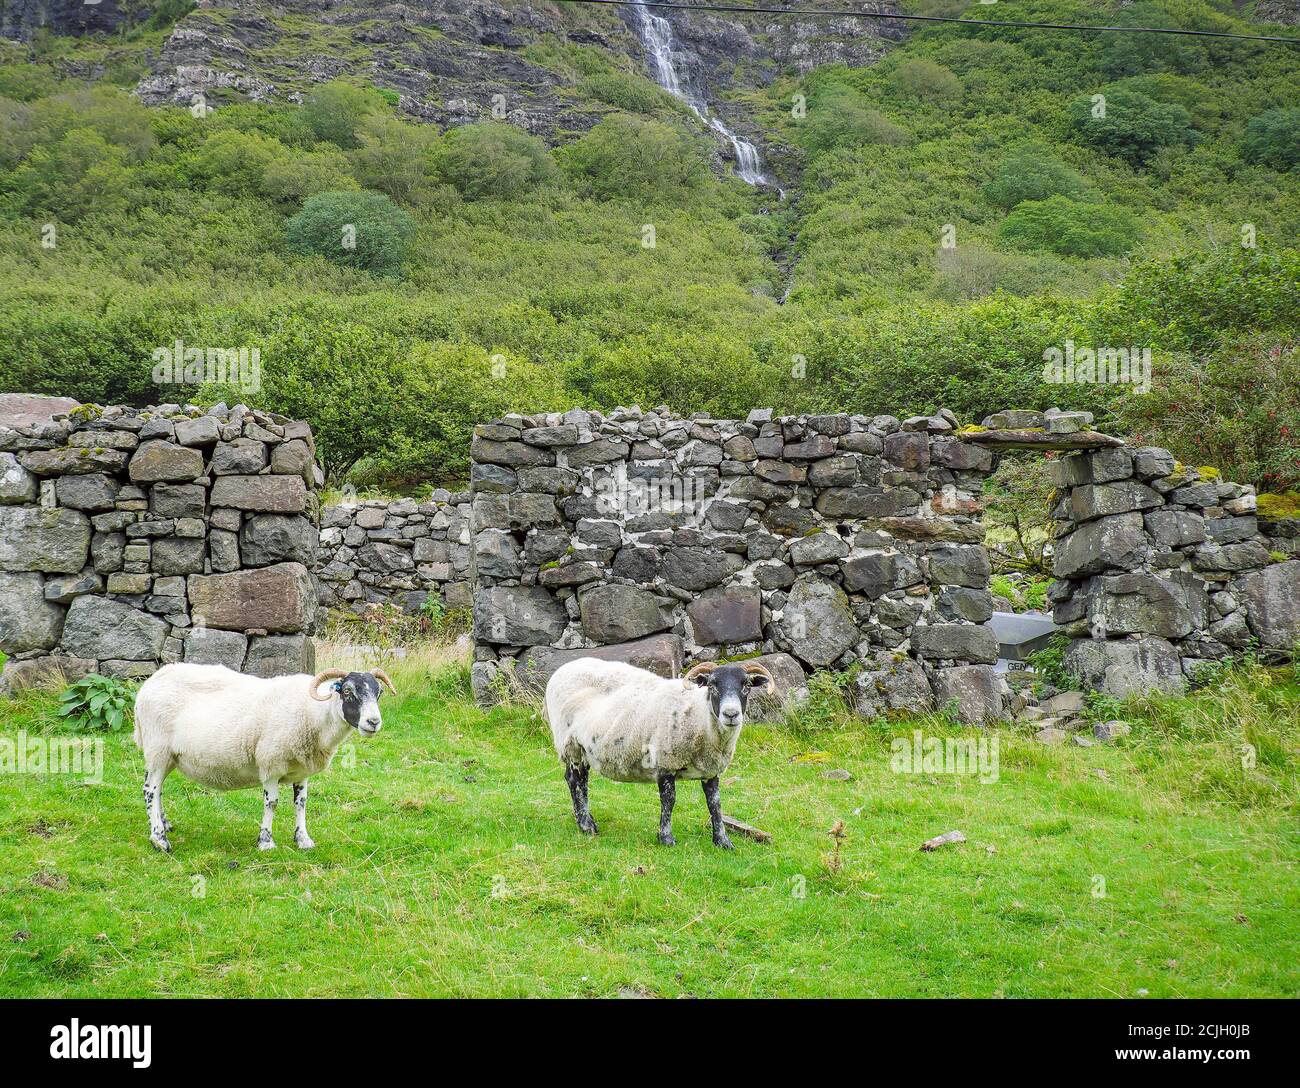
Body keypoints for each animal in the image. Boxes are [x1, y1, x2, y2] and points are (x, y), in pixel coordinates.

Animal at [132, 664, 396, 853]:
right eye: (348, 692)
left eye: (379, 692)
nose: (373, 722)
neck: (313, 712)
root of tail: (150, 682)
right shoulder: (271, 764)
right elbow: (272, 803)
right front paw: (266, 842)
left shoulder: (302, 770)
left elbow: (301, 803)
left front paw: (303, 839)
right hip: (158, 748)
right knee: (150, 789)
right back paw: (159, 839)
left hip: (169, 756)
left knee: (158, 789)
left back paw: (165, 825)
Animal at [544, 659, 775, 848]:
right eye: (712, 686)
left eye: (746, 686)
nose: (731, 714)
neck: (700, 717)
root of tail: (560, 670)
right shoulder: (665, 762)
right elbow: (669, 801)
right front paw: (666, 838)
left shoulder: (711, 771)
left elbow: (715, 804)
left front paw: (722, 841)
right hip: (571, 744)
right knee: (575, 781)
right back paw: (586, 826)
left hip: (583, 749)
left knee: (580, 781)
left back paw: (586, 821)